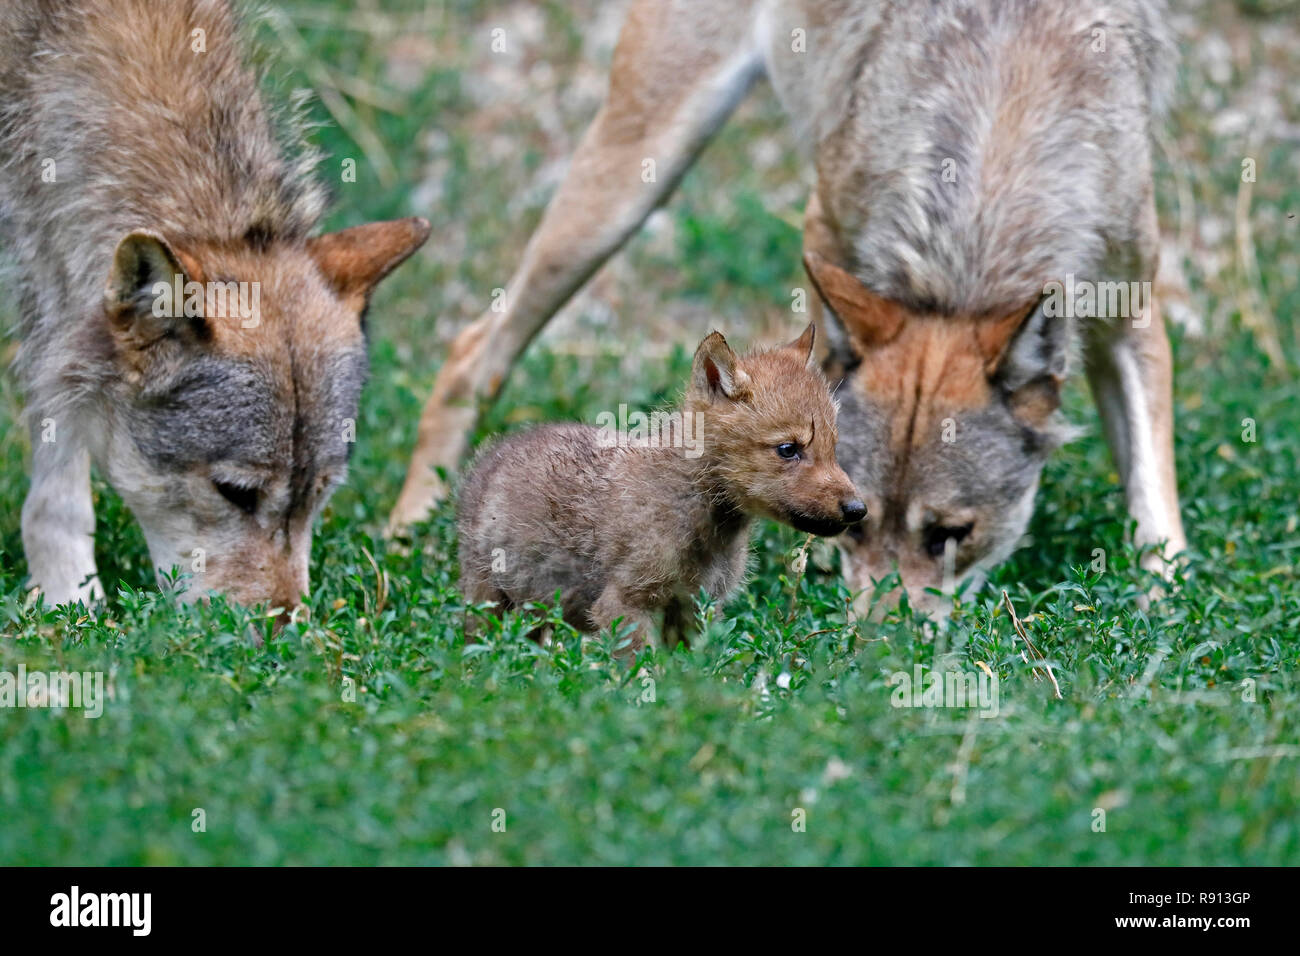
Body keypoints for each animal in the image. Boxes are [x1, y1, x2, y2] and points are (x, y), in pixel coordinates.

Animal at [457, 325, 865, 648]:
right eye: (788, 449)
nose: (858, 510)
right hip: (488, 601)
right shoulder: (622, 604)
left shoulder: (696, 608)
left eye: (833, 447)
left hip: (532, 612)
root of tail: (494, 450)